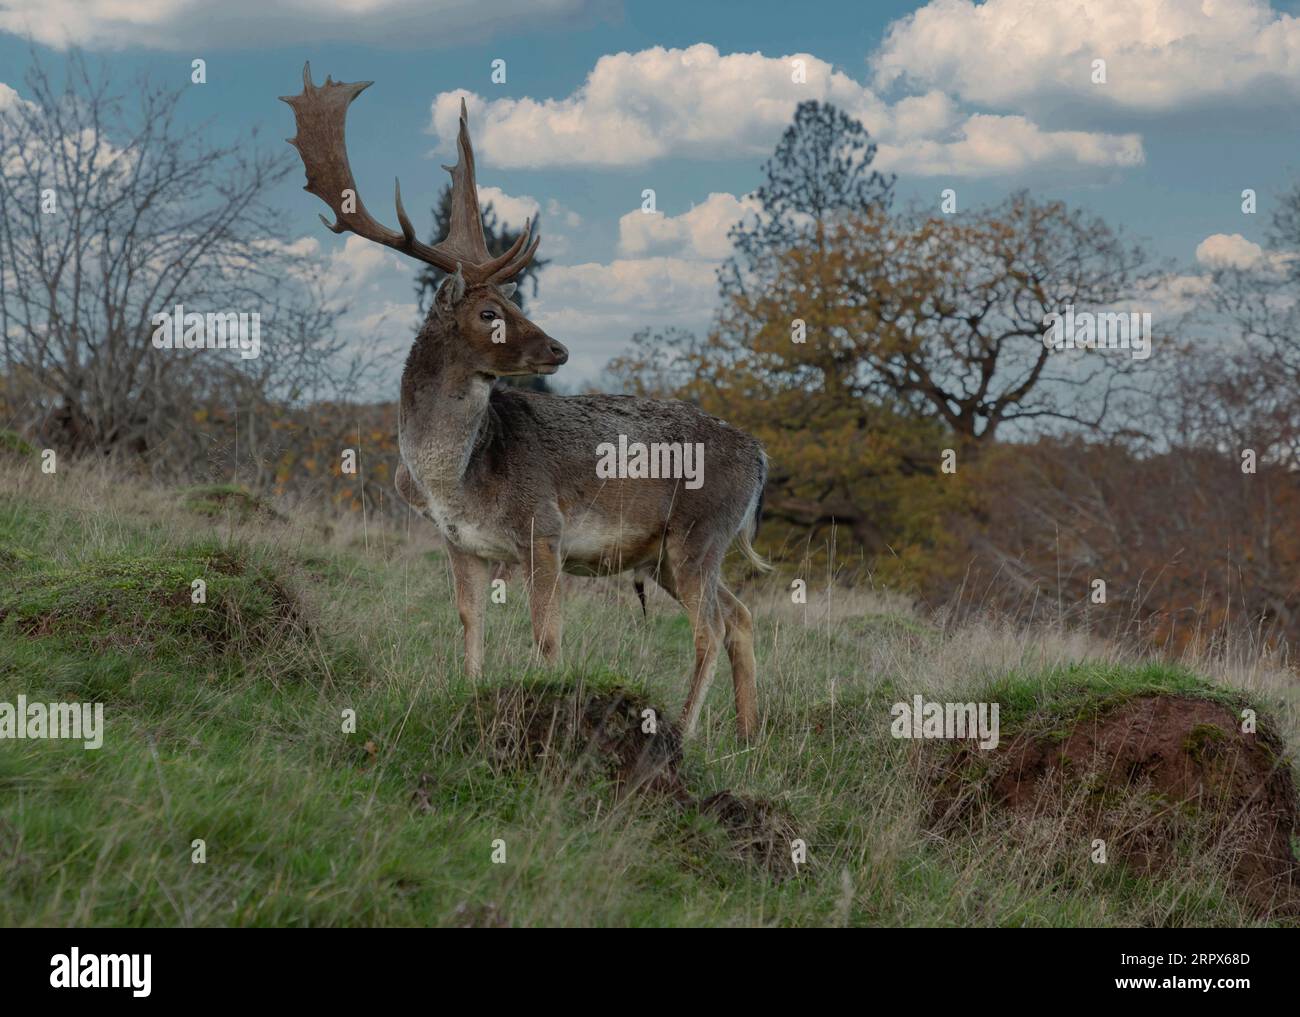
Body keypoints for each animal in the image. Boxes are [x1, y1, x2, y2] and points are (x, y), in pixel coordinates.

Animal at [281, 65, 770, 739]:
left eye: (514, 302)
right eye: (490, 312)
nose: (558, 348)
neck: (452, 477)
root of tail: (761, 457)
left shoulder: (545, 527)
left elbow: (546, 637)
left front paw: (551, 706)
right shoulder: (459, 543)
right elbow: (469, 626)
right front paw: (472, 700)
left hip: (700, 532)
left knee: (711, 626)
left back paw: (686, 730)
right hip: (671, 555)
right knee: (740, 615)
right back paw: (748, 738)